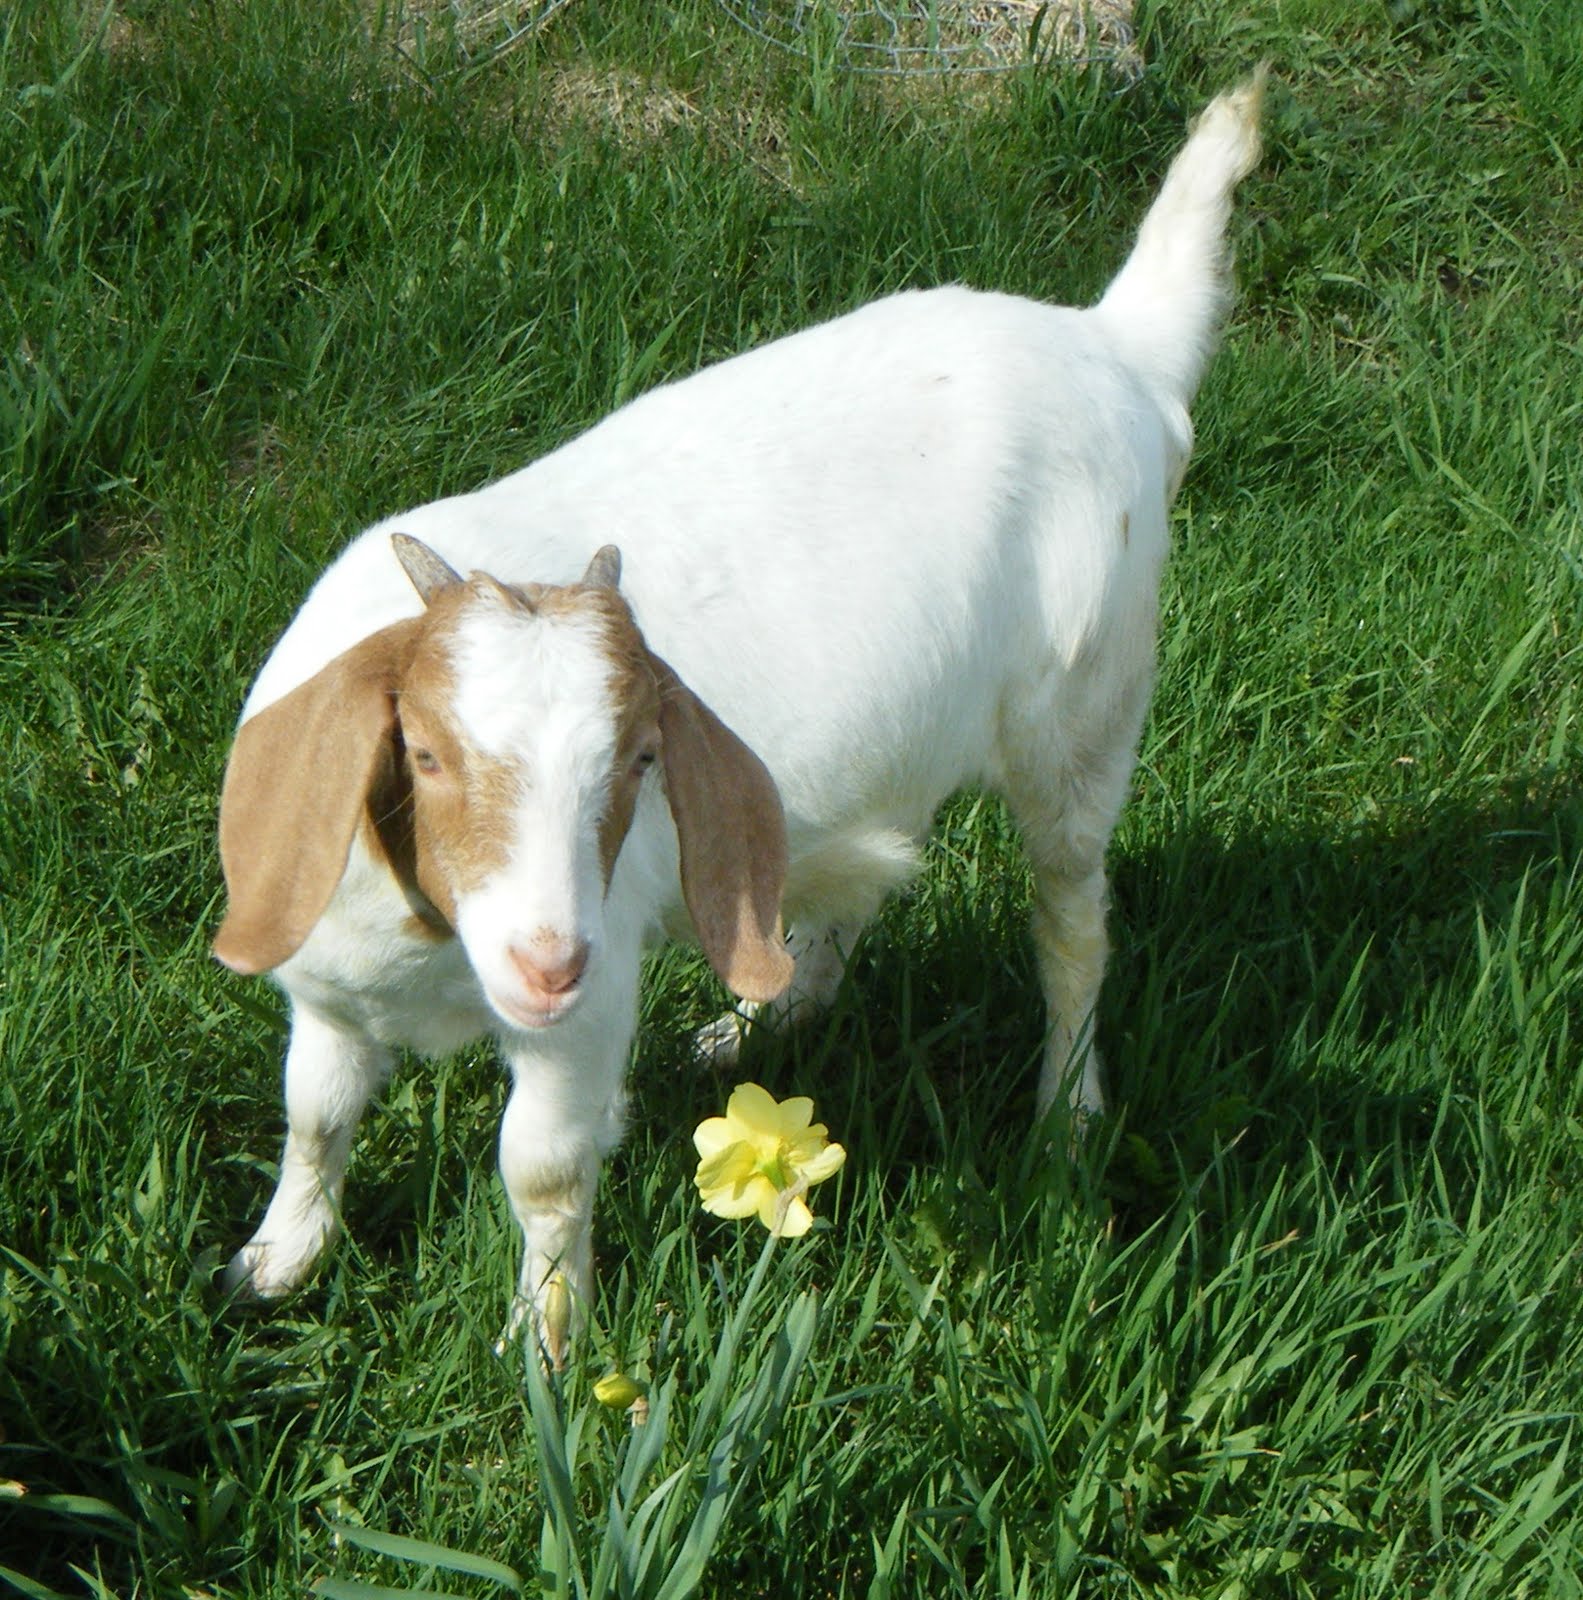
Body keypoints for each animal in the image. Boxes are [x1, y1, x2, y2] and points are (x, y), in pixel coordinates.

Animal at [215, 76, 1264, 1363]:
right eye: (420, 748)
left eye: (638, 761)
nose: (550, 960)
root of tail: (1109, 343)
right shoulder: (324, 988)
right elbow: (312, 1114)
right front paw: (272, 1263)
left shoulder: (581, 1020)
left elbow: (541, 1172)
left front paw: (546, 1349)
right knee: (857, 874)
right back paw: (766, 1023)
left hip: (1082, 714)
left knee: (1071, 930)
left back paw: (1065, 1122)